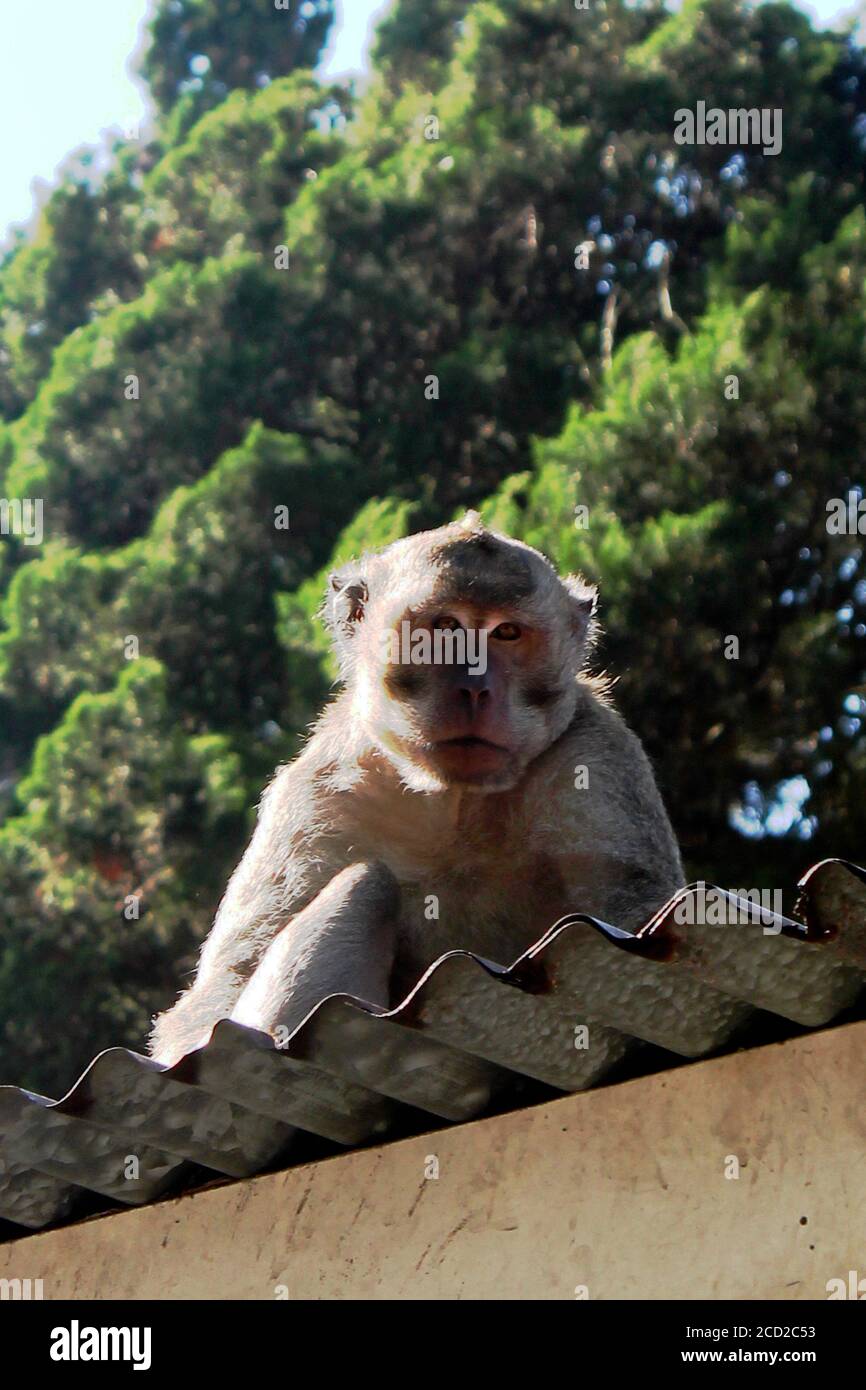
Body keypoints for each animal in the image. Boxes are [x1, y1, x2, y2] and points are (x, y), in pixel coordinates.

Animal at [150, 511, 684, 1066]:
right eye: (446, 627)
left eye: (507, 633)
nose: (476, 688)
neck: (455, 803)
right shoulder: (316, 793)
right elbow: (227, 983)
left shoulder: (598, 760)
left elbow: (634, 911)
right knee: (365, 887)